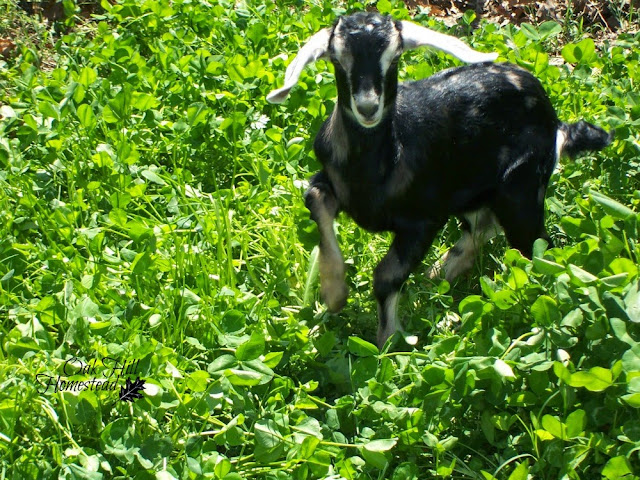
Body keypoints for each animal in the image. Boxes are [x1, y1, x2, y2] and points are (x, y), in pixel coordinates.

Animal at [267, 12, 612, 347]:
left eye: (394, 57)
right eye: (338, 59)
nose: (367, 107)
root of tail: (556, 122)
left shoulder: (424, 220)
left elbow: (386, 276)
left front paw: (388, 342)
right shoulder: (333, 182)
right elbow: (314, 199)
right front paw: (334, 294)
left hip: (522, 189)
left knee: (540, 248)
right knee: (482, 225)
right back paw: (439, 275)